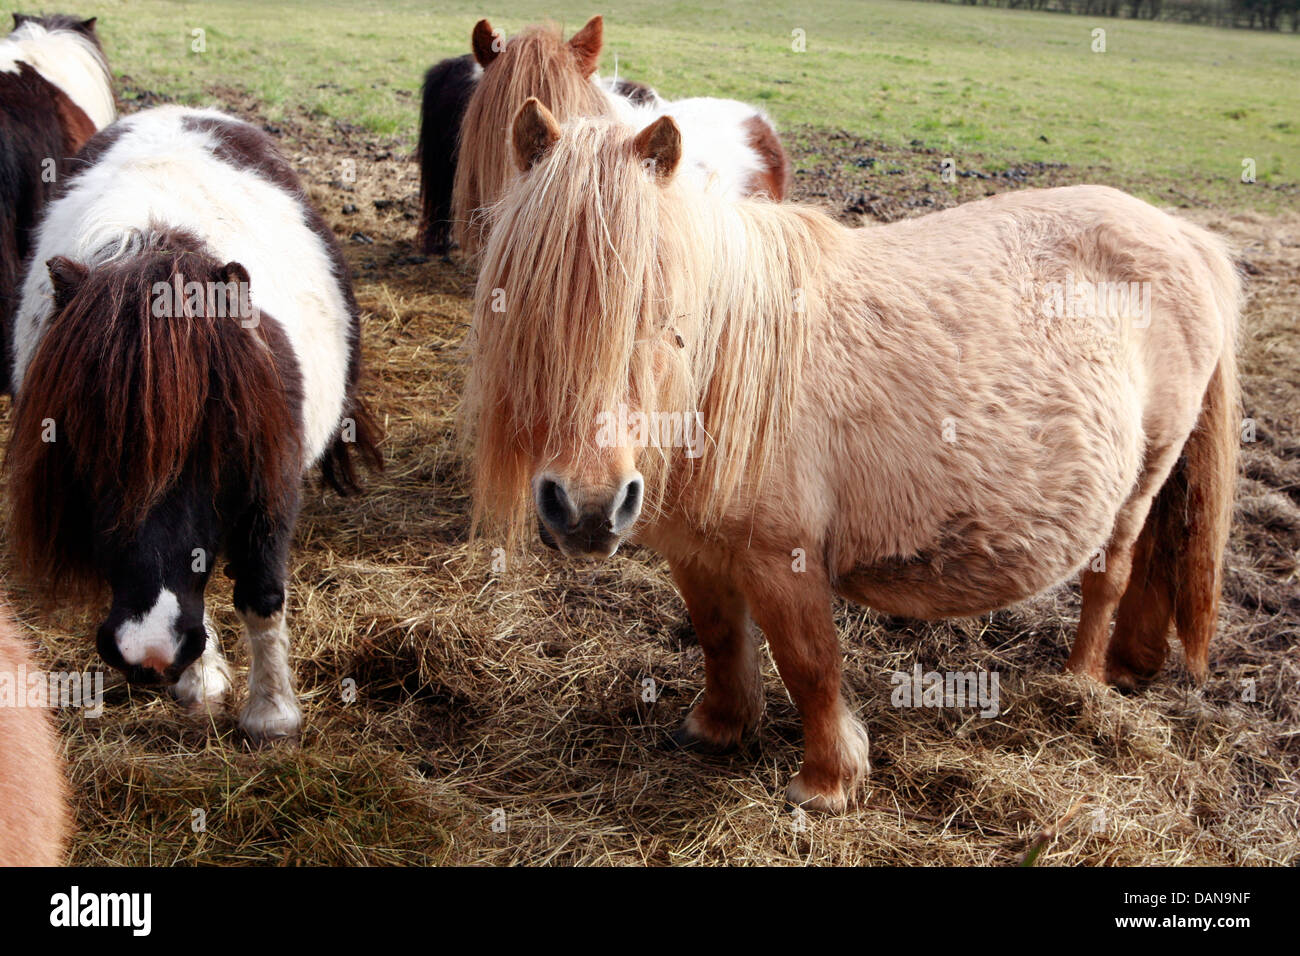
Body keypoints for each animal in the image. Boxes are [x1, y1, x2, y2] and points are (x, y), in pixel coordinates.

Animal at [6, 105, 381, 741]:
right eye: (80, 443)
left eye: (222, 443)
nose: (149, 649)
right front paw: (203, 682)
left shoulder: (271, 483)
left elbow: (260, 592)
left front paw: (272, 716)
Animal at [461, 100, 1241, 813]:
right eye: (526, 303)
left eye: (661, 315)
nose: (587, 509)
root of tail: (1183, 235)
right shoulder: (696, 550)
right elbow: (718, 635)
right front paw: (717, 728)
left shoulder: (784, 559)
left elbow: (808, 663)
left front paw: (826, 783)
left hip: (1142, 479)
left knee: (1110, 575)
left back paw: (1079, 684)